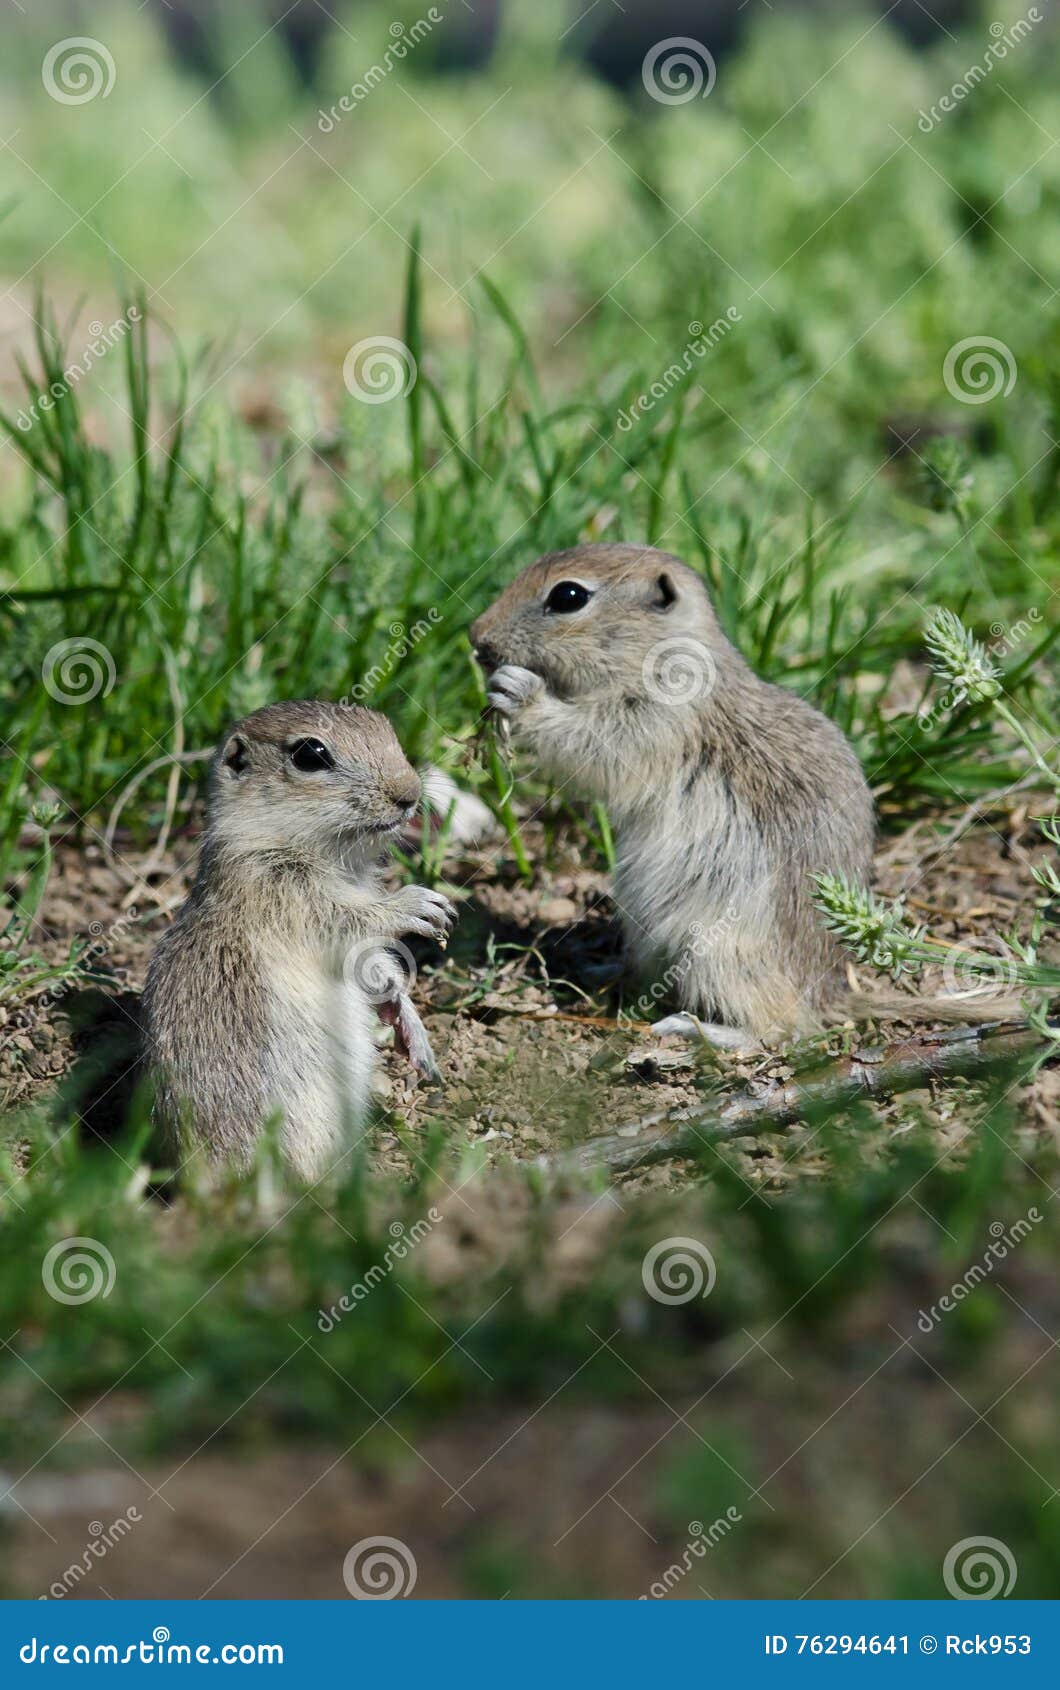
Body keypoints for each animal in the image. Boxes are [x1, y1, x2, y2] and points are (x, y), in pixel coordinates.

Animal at [143, 701, 455, 1181]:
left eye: (385, 725)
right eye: (310, 754)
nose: (409, 793)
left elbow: (377, 967)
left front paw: (415, 1038)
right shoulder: (281, 888)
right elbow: (350, 917)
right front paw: (421, 904)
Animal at [470, 543, 877, 1044]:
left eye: (568, 596)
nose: (477, 639)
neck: (663, 656)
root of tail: (832, 993)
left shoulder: (652, 722)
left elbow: (587, 740)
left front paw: (517, 691)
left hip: (715, 951)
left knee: (780, 1029)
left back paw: (690, 1027)